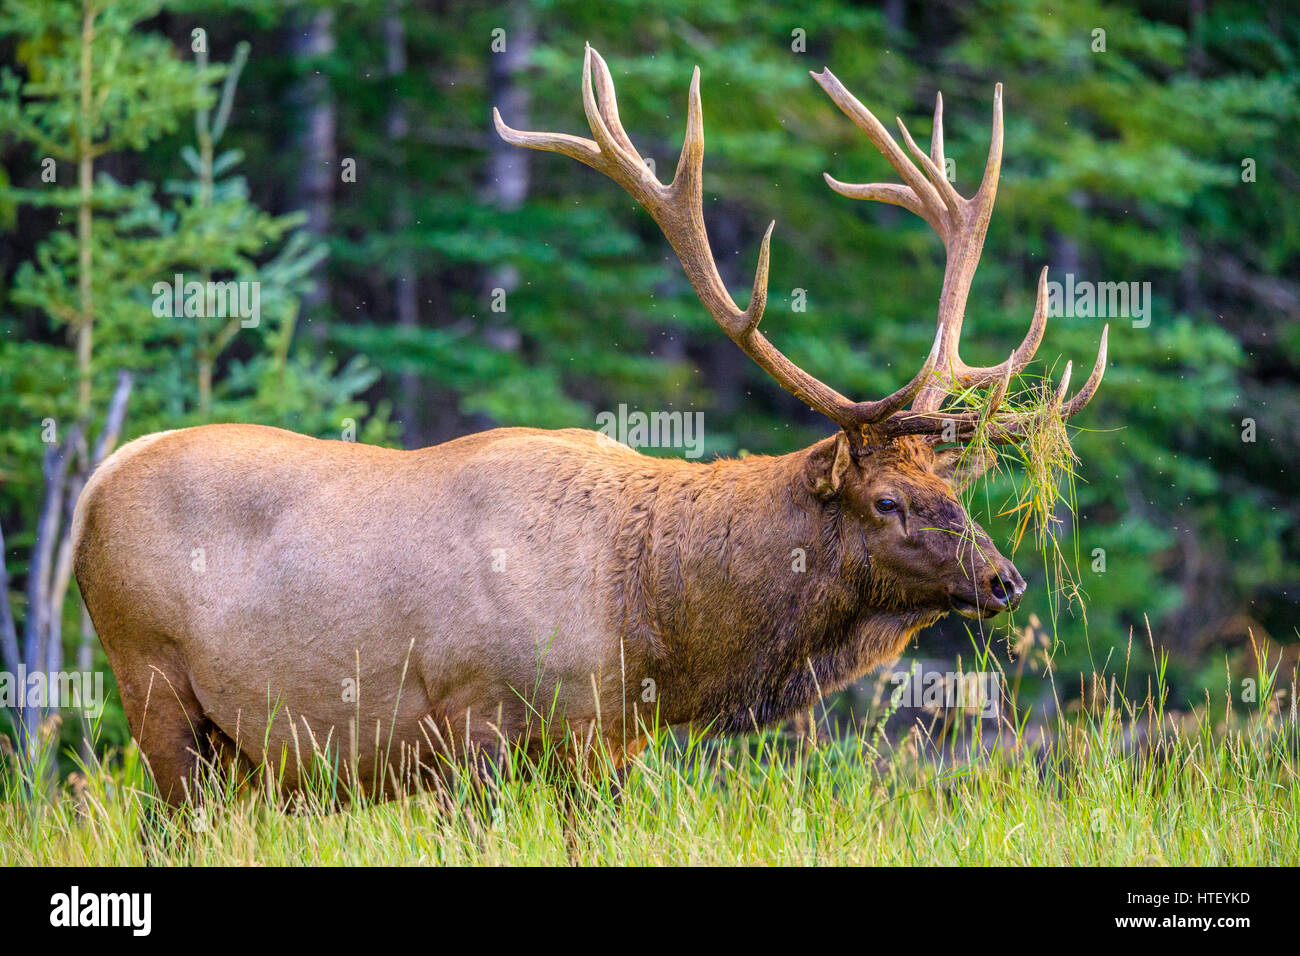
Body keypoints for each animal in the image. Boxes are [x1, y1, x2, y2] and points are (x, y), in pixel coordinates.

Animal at [73, 46, 1106, 808]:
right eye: (888, 500)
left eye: (948, 487)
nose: (1005, 578)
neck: (651, 622)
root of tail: (92, 484)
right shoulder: (476, 725)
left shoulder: (607, 749)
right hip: (153, 685)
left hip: (236, 753)